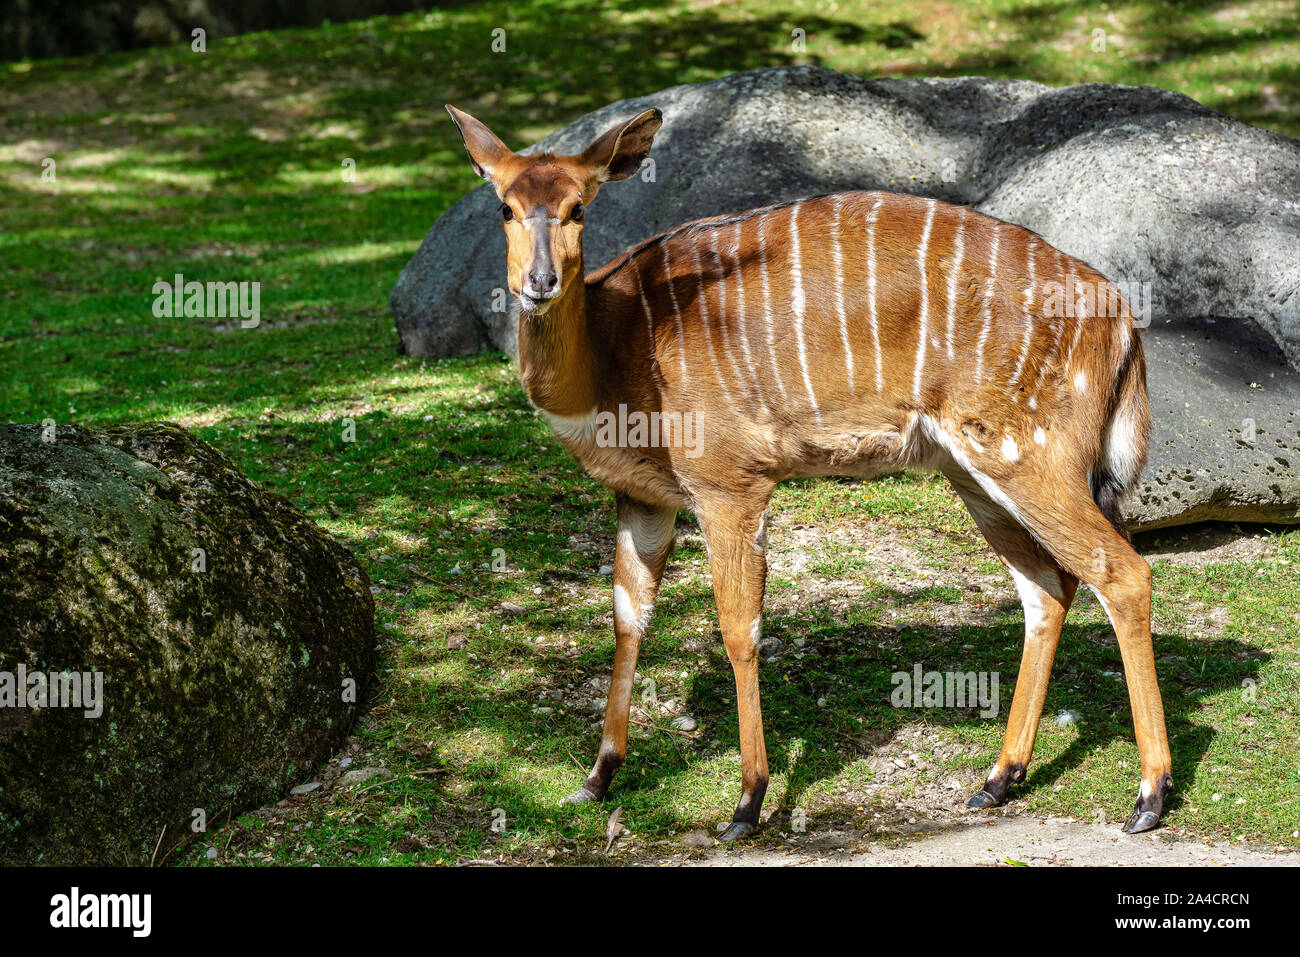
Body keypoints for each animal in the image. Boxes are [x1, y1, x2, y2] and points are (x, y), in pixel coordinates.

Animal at [445, 103, 1173, 840]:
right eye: (505, 206)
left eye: (578, 208)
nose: (540, 282)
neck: (615, 353)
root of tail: (1119, 313)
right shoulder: (643, 496)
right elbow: (629, 616)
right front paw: (595, 779)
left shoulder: (730, 483)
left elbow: (739, 627)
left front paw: (747, 803)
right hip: (974, 473)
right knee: (1047, 589)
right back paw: (997, 780)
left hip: (1028, 454)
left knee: (1122, 573)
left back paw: (1149, 795)